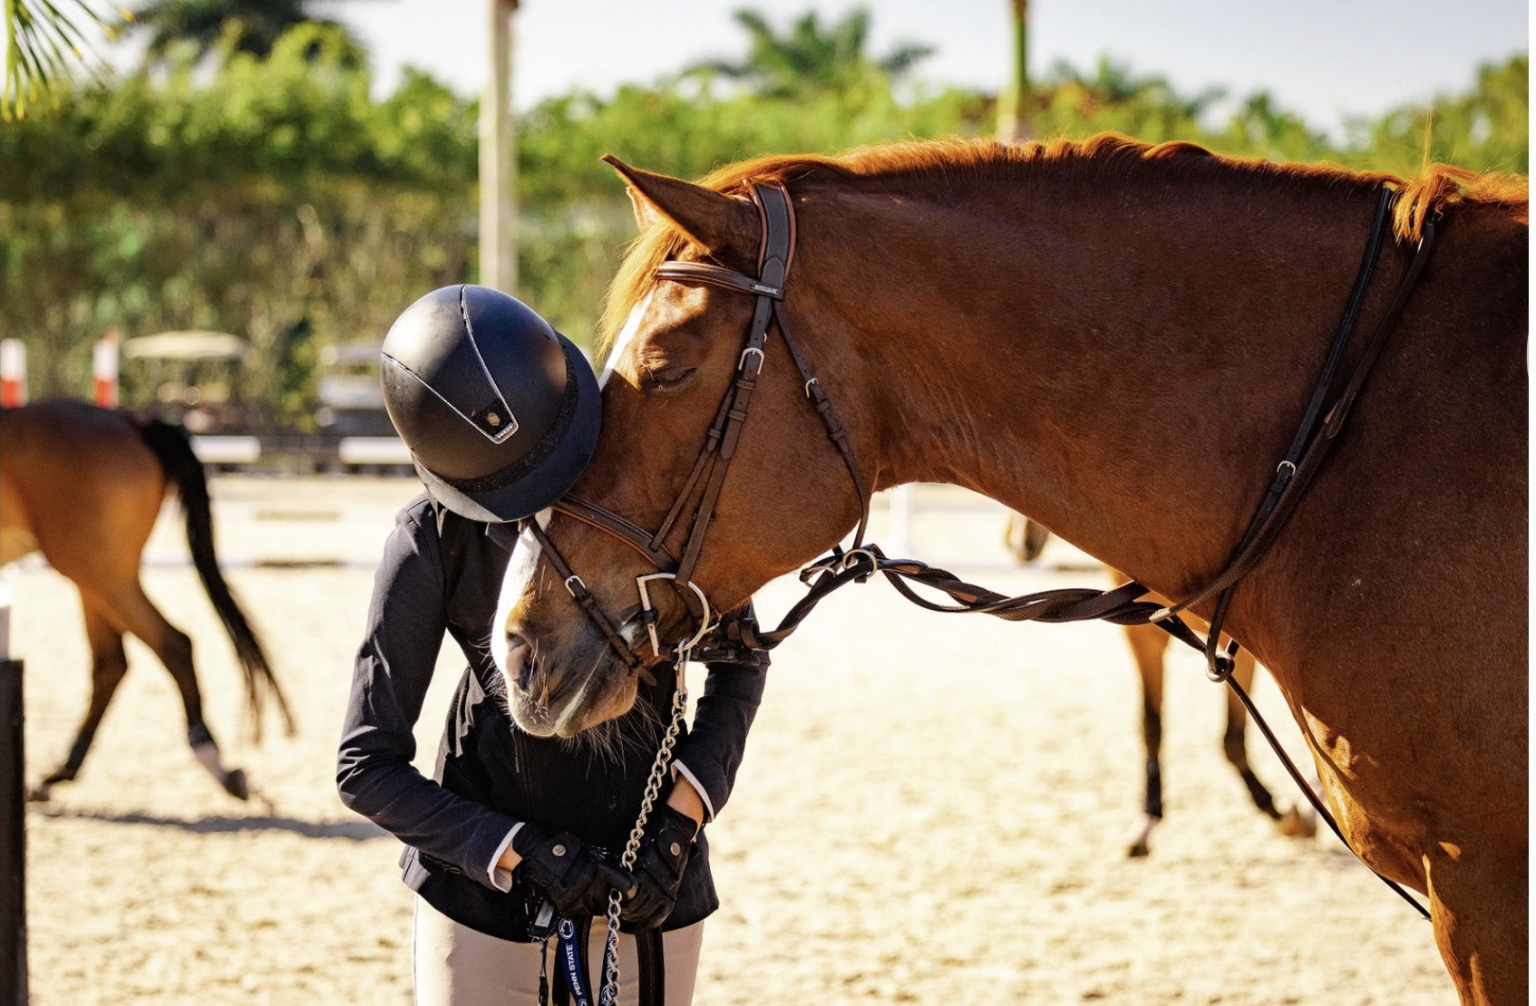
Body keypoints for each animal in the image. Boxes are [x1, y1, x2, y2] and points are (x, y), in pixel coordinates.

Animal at [0, 399, 293, 800]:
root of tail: (132, 421)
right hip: (95, 577)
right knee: (111, 663)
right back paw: (62, 771)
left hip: (101, 574)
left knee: (171, 644)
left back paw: (213, 761)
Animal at [1011, 516, 1316, 856]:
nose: (1022, 545)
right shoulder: (1143, 636)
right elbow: (1151, 725)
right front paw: (1149, 818)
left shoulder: (1239, 648)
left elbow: (1234, 737)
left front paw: (1282, 813)